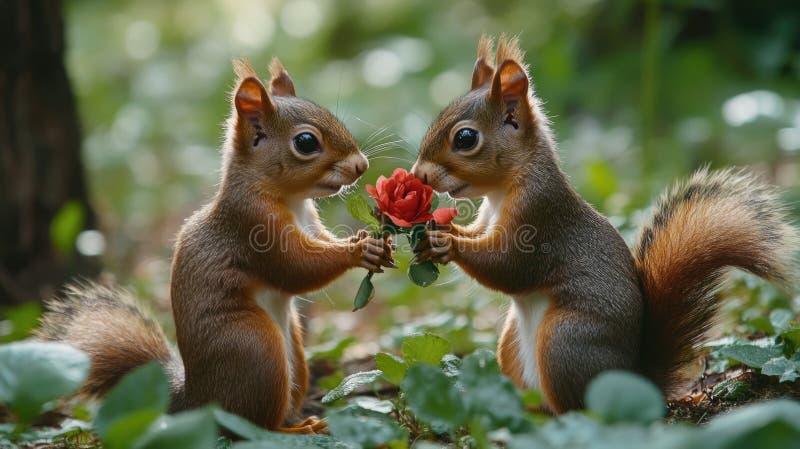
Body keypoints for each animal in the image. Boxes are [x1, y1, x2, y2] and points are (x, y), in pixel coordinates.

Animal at [35, 58, 394, 433]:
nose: (362, 165)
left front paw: (367, 240)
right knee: (251, 425)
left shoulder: (310, 222)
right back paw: (297, 428)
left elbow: (320, 244)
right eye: (306, 142)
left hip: (293, 350)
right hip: (255, 348)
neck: (289, 198)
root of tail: (195, 399)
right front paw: (358, 251)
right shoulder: (251, 224)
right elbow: (295, 268)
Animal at [411, 35, 798, 413]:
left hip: (564, 341)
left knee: (580, 411)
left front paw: (447, 241)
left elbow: (508, 266)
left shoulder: (540, 216)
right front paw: (437, 232)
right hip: (511, 344)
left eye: (465, 139)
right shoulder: (487, 218)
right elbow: (479, 238)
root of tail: (636, 380)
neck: (504, 190)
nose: (418, 175)